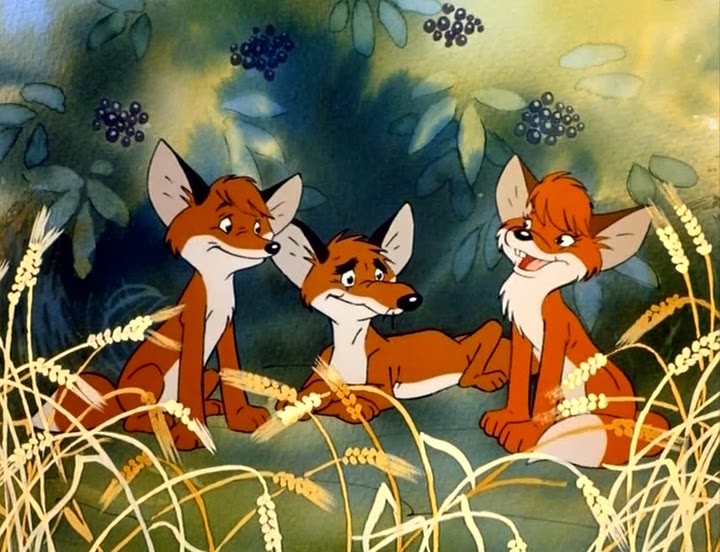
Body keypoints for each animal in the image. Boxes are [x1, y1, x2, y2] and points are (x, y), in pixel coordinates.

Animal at [36, 139, 303, 450]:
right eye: (226, 225)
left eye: (259, 227)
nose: (272, 246)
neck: (218, 292)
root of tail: (117, 398)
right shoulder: (193, 328)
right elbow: (189, 390)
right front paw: (191, 433)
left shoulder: (227, 328)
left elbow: (231, 375)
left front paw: (240, 418)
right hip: (150, 374)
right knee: (132, 421)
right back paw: (160, 422)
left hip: (205, 375)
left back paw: (201, 409)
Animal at [270, 204, 511, 422]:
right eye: (349, 278)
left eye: (380, 274)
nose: (411, 299)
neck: (350, 352)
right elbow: (307, 396)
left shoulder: (384, 388)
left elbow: (354, 401)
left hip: (475, 346)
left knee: (483, 345)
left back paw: (485, 378)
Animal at [479, 155, 669, 467]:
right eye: (527, 220)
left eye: (564, 240)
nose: (521, 232)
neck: (532, 300)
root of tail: (635, 417)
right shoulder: (520, 334)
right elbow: (518, 381)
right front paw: (509, 418)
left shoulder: (555, 337)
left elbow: (544, 393)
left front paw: (529, 434)